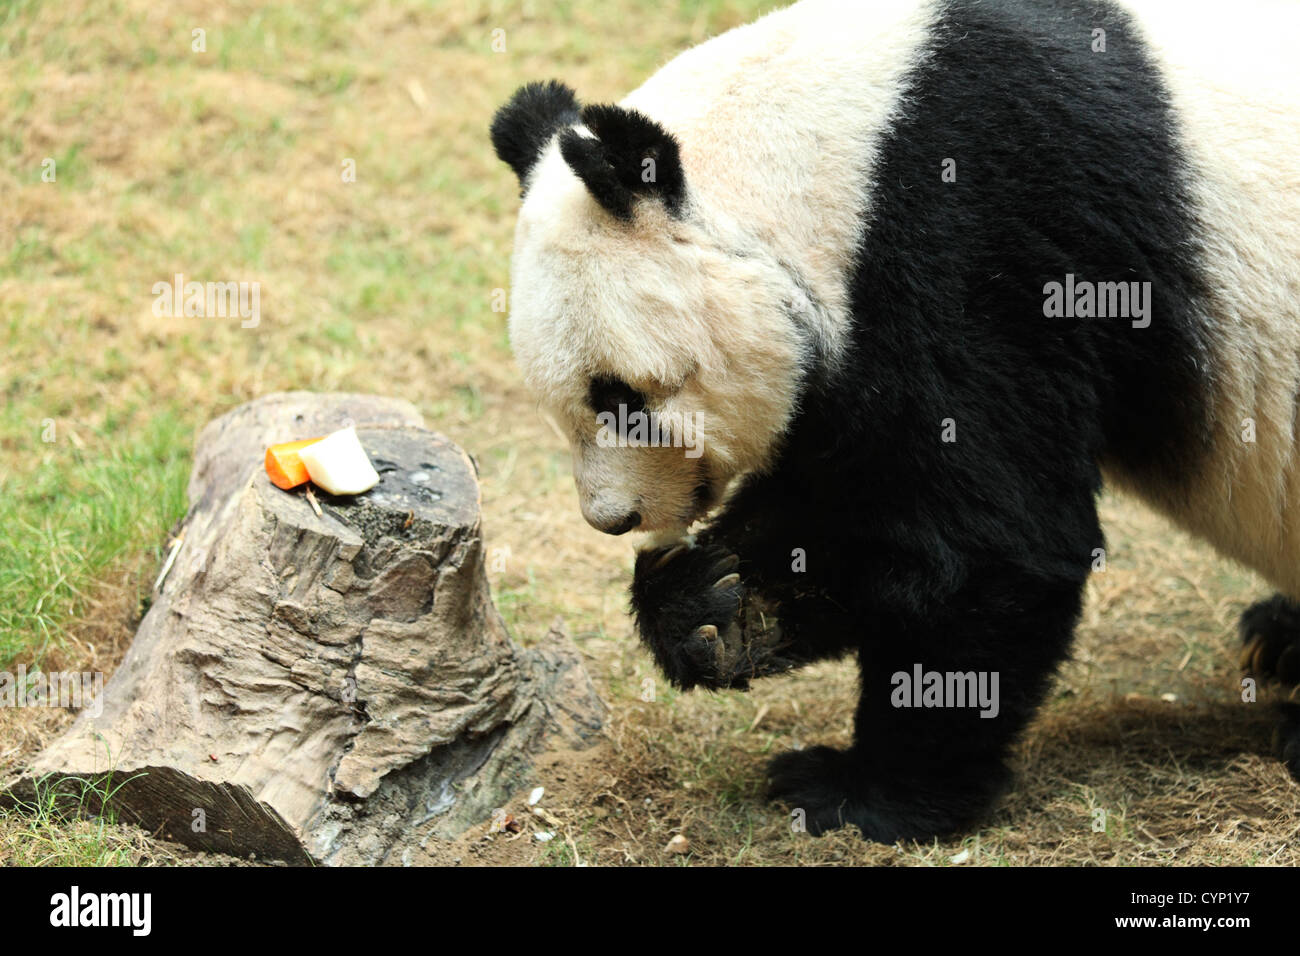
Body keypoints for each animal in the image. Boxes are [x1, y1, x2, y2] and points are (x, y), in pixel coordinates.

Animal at [490, 0, 1300, 841]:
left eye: (619, 396)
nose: (614, 518)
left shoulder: (986, 228)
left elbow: (978, 536)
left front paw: (858, 792)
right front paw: (714, 606)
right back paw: (1277, 641)